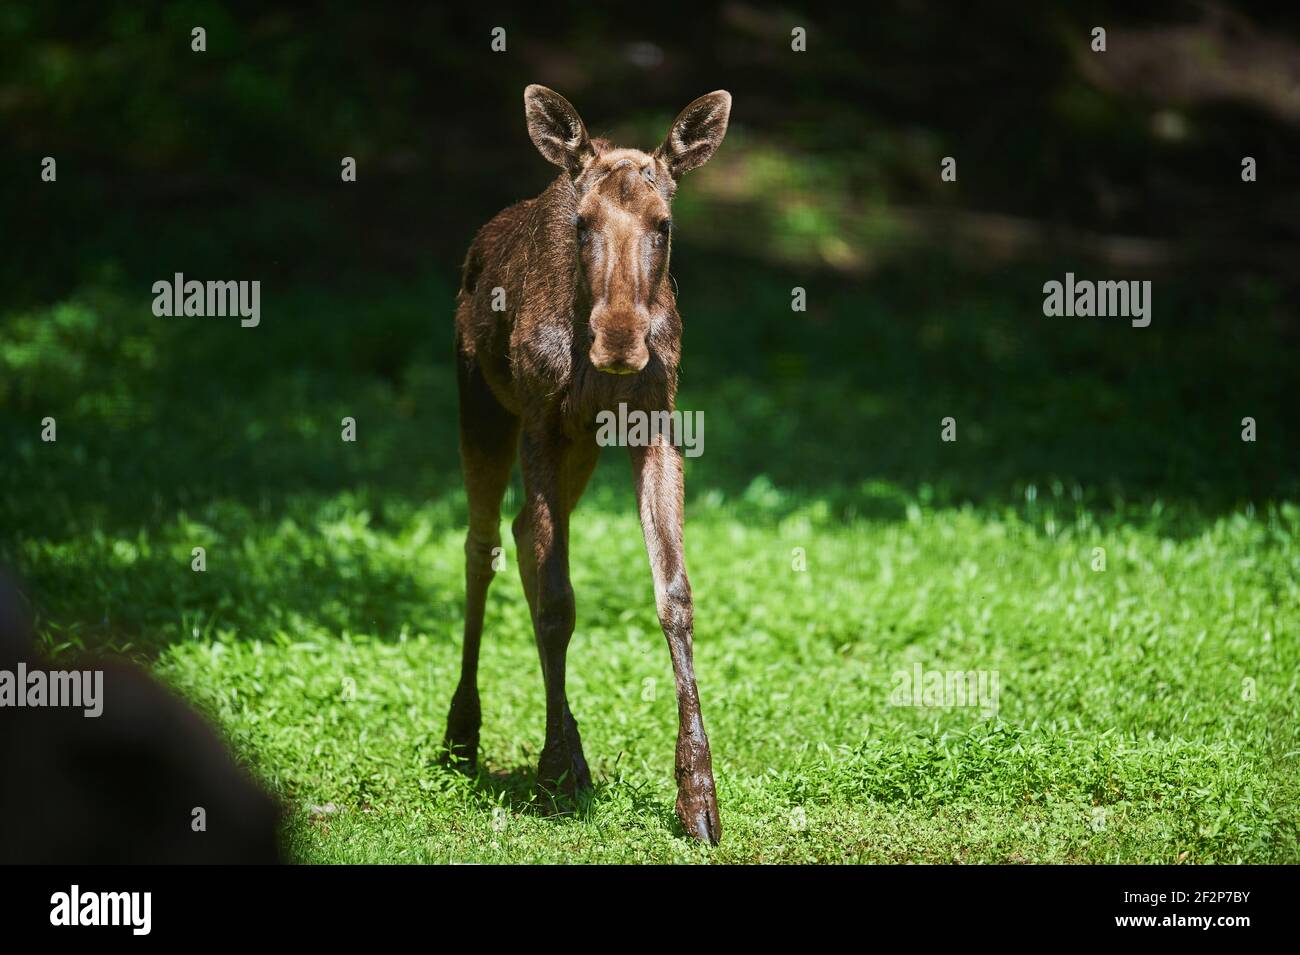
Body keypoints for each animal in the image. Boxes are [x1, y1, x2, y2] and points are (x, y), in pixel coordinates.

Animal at [442, 85, 731, 843]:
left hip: (587, 441)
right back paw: (463, 730)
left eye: (664, 224)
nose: (621, 342)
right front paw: (553, 768)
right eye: (582, 224)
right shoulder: (543, 418)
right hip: (482, 401)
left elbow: (675, 594)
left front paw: (699, 796)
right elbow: (557, 600)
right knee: (482, 542)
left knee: (520, 530)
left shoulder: (655, 421)